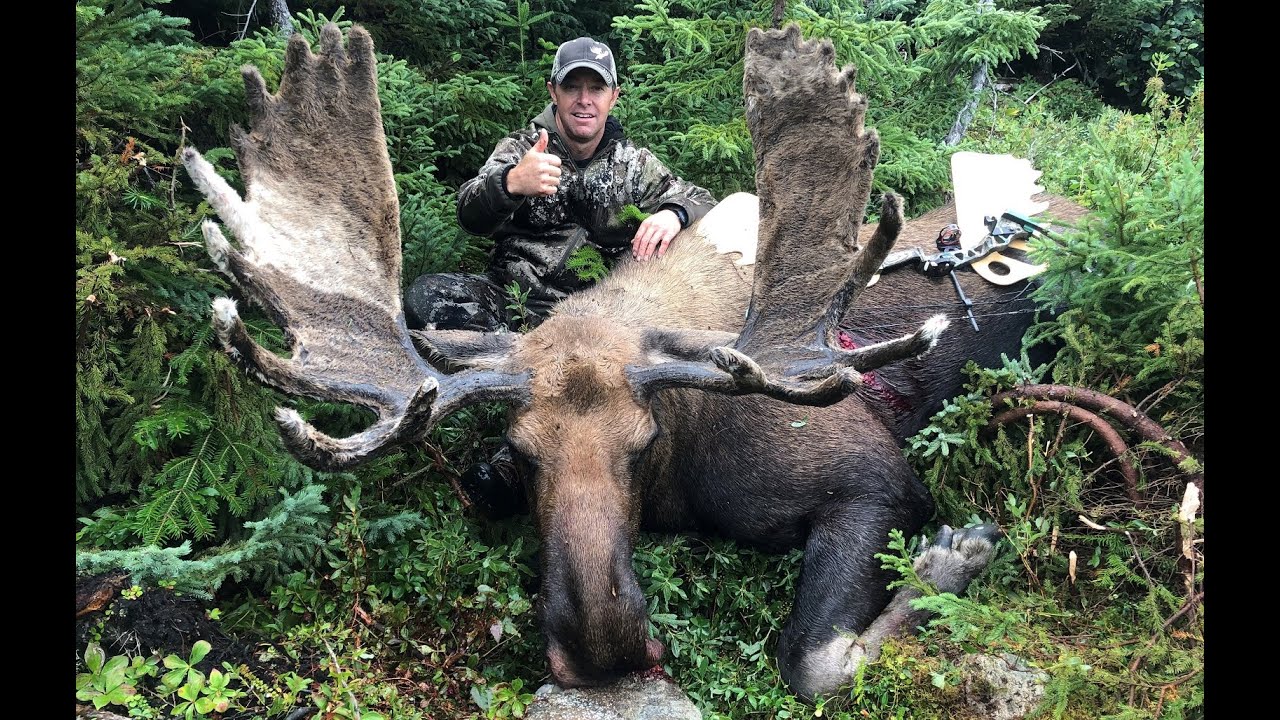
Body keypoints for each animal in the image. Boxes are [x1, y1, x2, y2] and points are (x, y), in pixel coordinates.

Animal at [181, 23, 1084, 699]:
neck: (688, 467)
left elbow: (812, 659)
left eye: (644, 445)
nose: (605, 652)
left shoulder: (878, 479)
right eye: (520, 454)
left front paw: (955, 554)